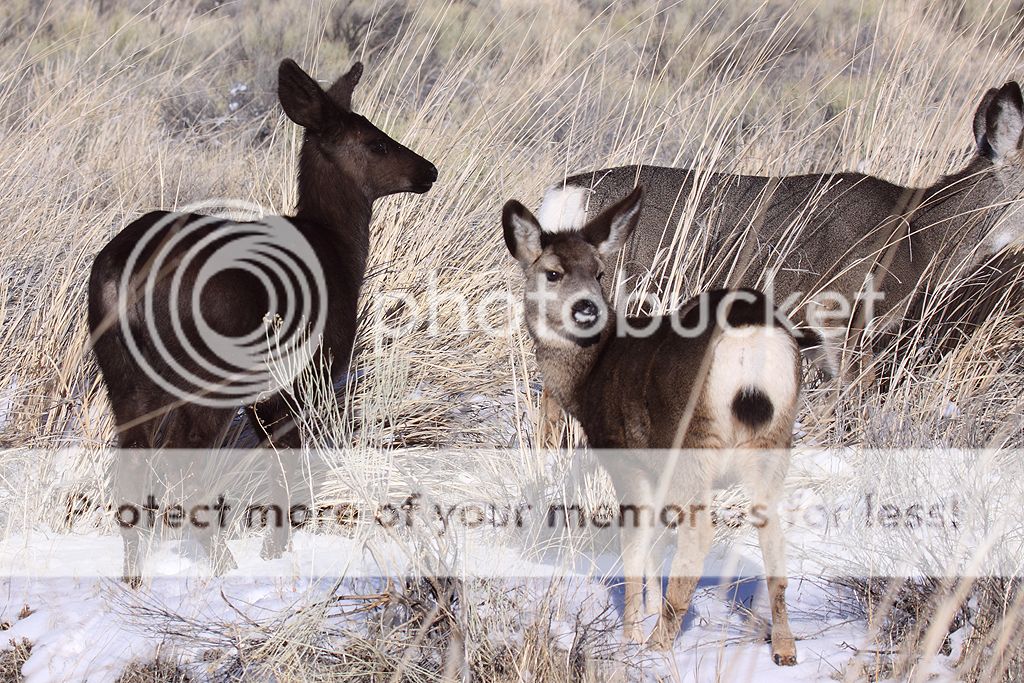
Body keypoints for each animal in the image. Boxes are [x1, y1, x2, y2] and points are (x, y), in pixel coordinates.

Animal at [88, 58, 438, 586]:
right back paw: (222, 563)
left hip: (123, 375)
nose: (428, 171)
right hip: (209, 370)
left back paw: (134, 573)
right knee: (185, 460)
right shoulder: (308, 373)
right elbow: (288, 465)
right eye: (376, 141)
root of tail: (124, 272)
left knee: (131, 459)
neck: (337, 251)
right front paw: (276, 551)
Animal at [503, 187, 804, 664]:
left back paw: (660, 645)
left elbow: (634, 549)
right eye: (553, 273)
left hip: (691, 439)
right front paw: (645, 612)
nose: (586, 308)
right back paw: (785, 648)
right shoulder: (653, 468)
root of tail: (752, 338)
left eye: (600, 273)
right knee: (773, 533)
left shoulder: (625, 458)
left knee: (700, 534)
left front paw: (630, 634)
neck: (589, 374)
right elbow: (655, 549)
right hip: (775, 441)